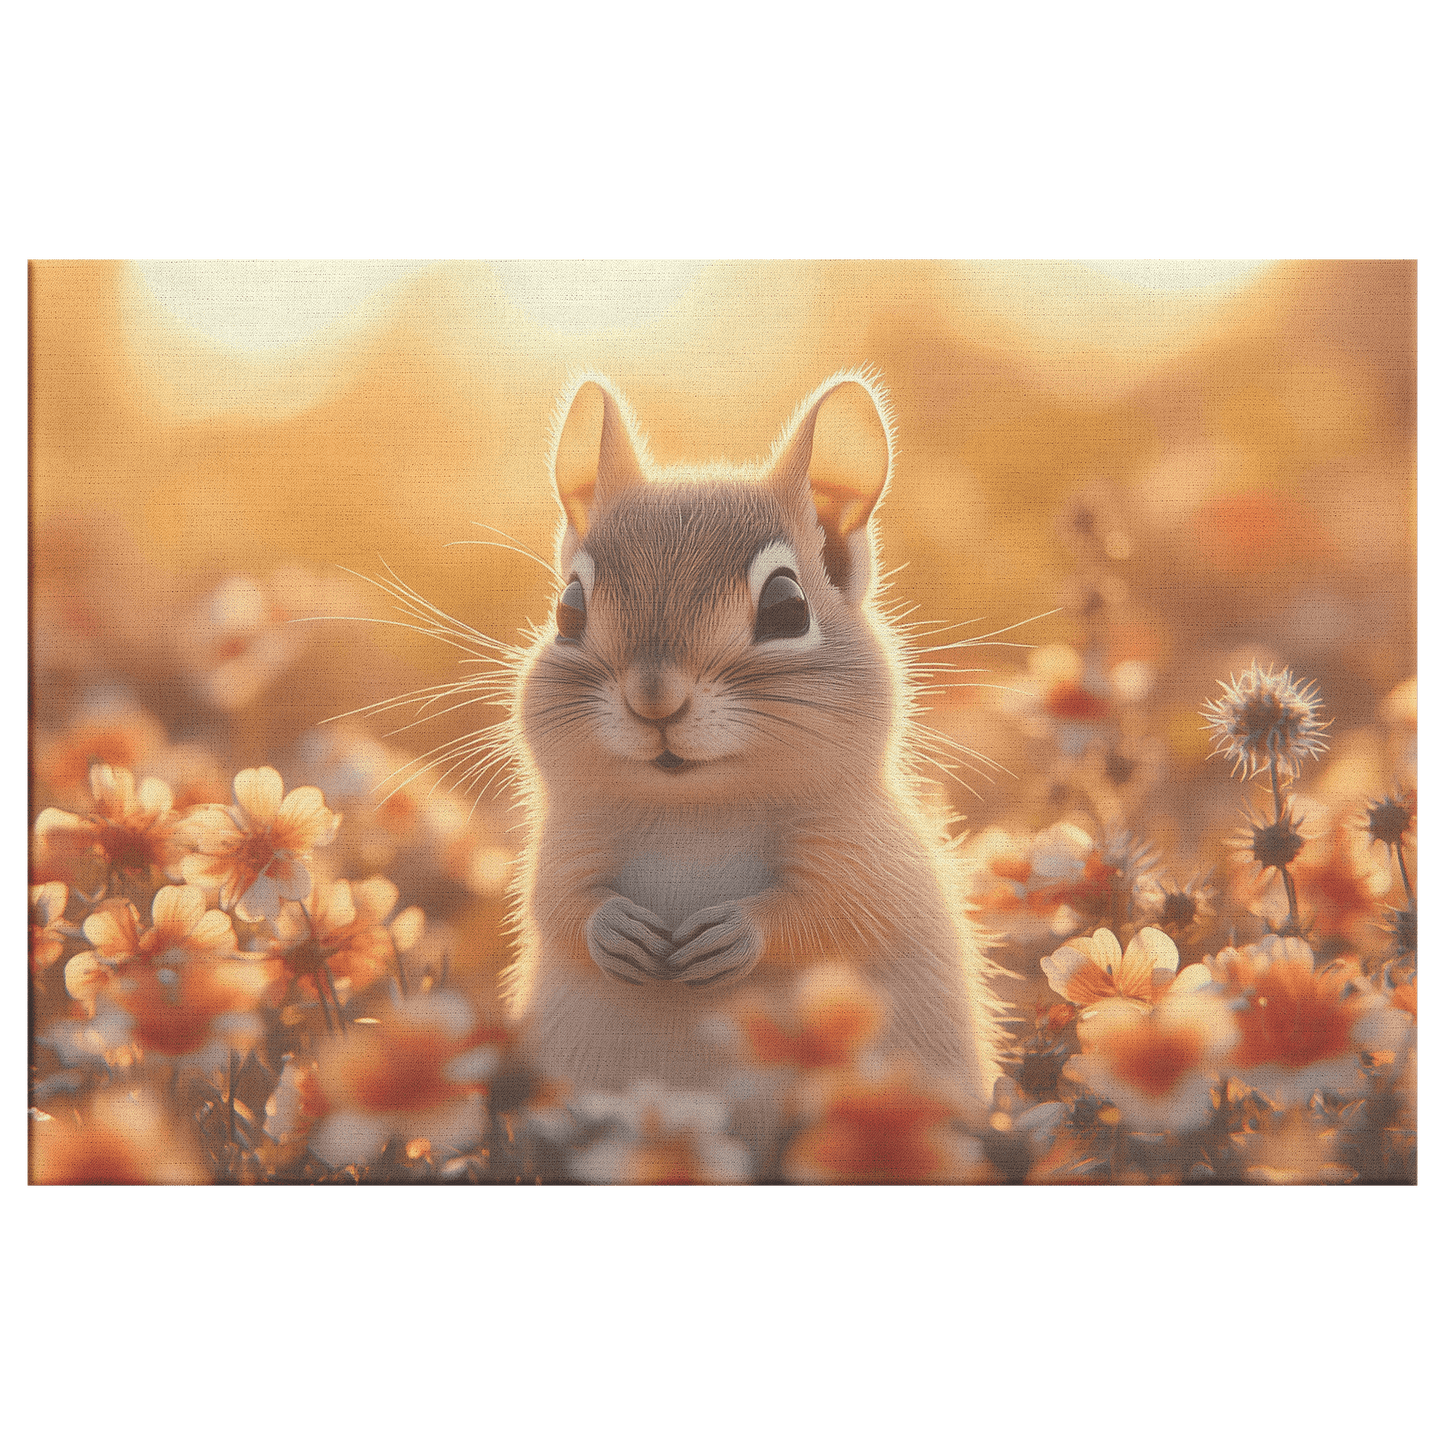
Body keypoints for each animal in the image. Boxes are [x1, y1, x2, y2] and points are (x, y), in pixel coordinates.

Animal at [500, 371, 1005, 1107]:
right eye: (569, 609)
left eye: (786, 608)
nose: (654, 699)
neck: (697, 812)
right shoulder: (565, 846)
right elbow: (558, 904)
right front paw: (615, 930)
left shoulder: (862, 857)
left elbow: (827, 912)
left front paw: (735, 933)